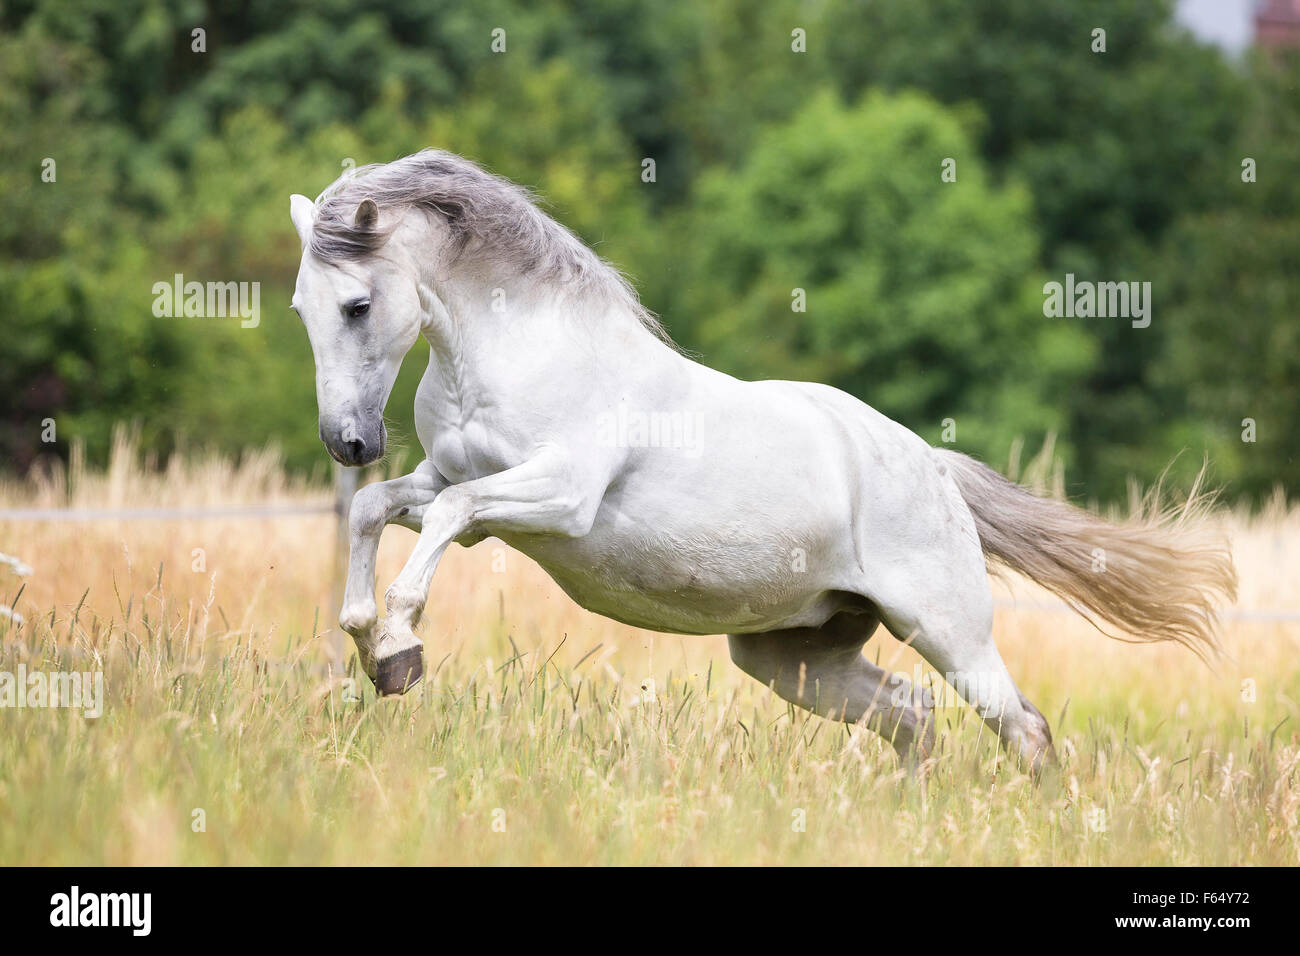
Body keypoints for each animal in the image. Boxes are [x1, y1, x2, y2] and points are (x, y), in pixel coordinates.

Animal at [288, 149, 1237, 772]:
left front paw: (401, 648)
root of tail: (934, 467)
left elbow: (441, 523)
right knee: (913, 717)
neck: (518, 351)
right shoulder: (454, 482)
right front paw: (369, 641)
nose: (349, 442)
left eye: (358, 304)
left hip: (948, 631)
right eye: (300, 305)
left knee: (1022, 728)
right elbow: (378, 509)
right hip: (793, 655)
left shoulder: (554, 500)